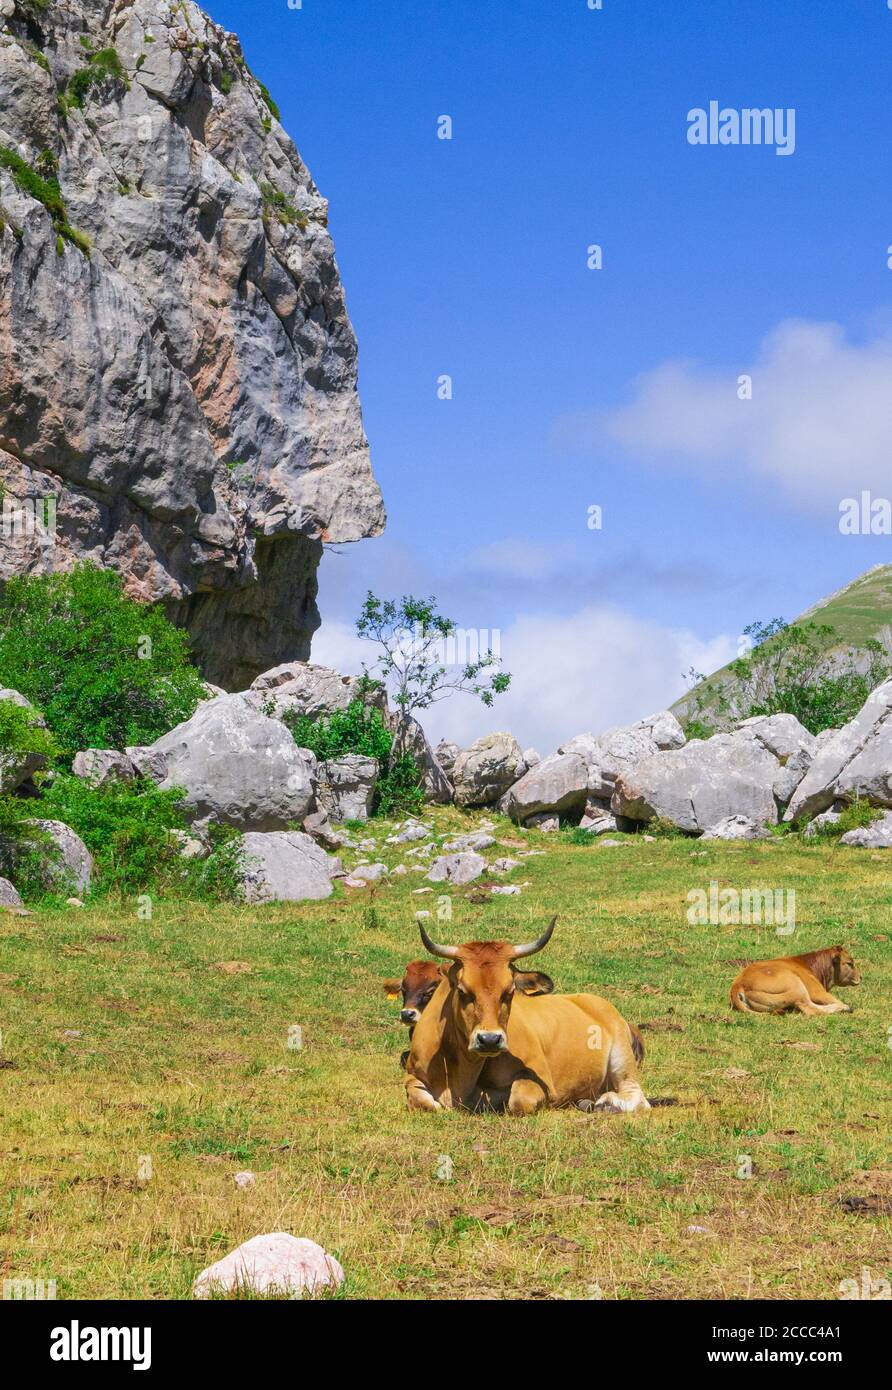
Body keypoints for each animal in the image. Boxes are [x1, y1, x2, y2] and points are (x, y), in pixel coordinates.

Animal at [404, 917, 650, 1115]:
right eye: (463, 991)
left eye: (509, 991)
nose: (489, 1040)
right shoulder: (412, 1075)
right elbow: (423, 1102)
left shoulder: (540, 1080)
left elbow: (519, 1101)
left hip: (622, 1059)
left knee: (638, 1097)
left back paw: (605, 1103)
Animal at [730, 946, 861, 1016]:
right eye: (849, 963)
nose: (861, 977)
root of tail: (738, 984)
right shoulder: (818, 992)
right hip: (797, 986)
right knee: (810, 1008)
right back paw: (845, 1008)